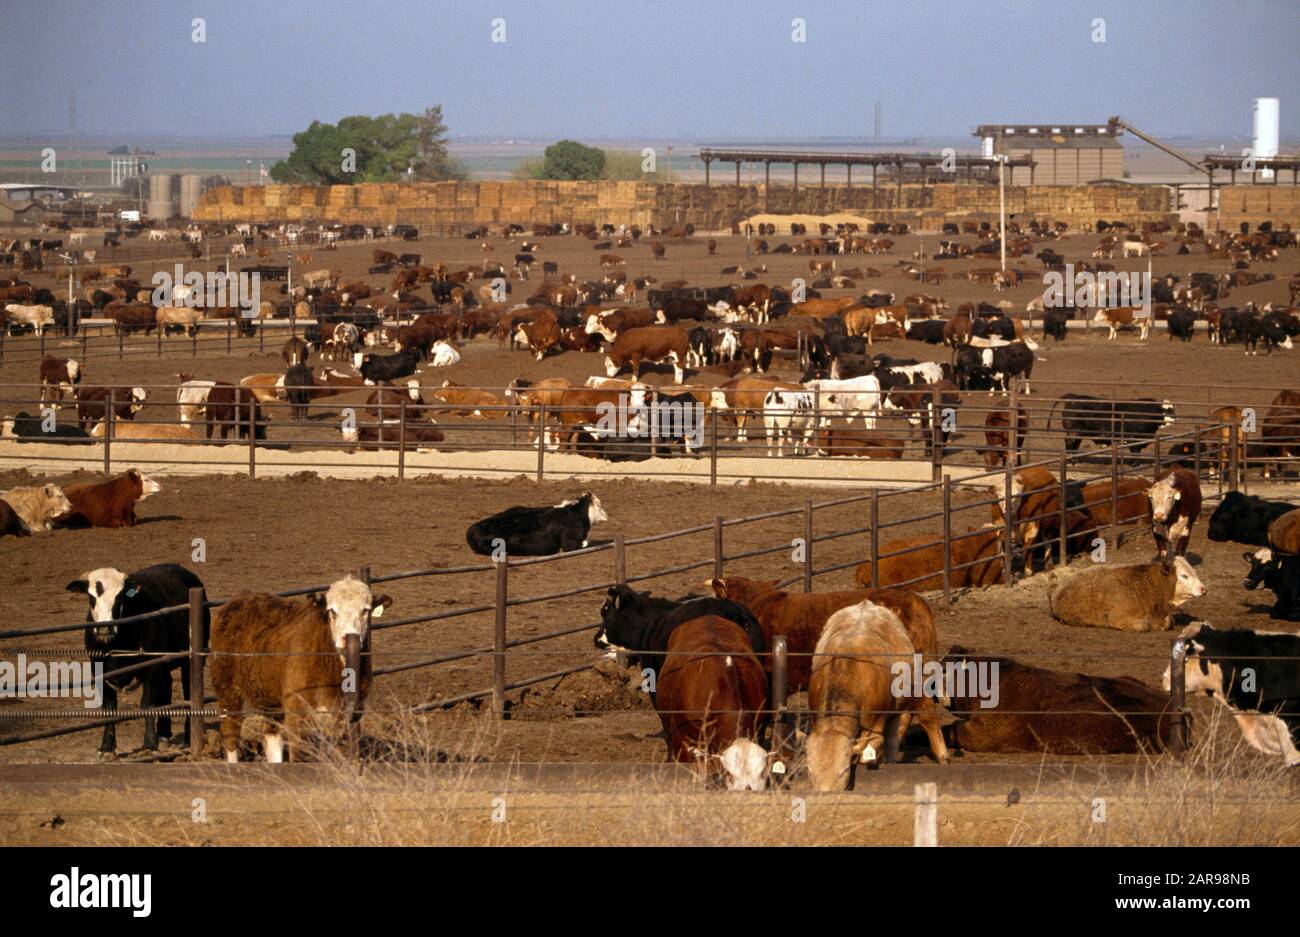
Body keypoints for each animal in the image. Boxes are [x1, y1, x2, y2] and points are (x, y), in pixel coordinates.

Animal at [65, 564, 209, 755]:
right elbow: (109, 707)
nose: (104, 628)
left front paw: (149, 744)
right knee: (166, 687)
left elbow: (147, 704)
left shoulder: (152, 668)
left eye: (120, 597)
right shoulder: (99, 669)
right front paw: (107, 747)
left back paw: (186, 738)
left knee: (189, 693)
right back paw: (163, 734)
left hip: (189, 660)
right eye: (91, 597)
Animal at [211, 575, 392, 762]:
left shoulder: (353, 715)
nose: (345, 639)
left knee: (271, 736)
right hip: (226, 687)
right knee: (231, 734)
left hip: (270, 698)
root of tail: (238, 600)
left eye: (365, 611)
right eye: (332, 612)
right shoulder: (296, 711)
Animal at [465, 492, 608, 556]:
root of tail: (471, 529)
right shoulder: (570, 545)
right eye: (600, 504)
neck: (574, 514)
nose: (607, 516)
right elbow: (586, 543)